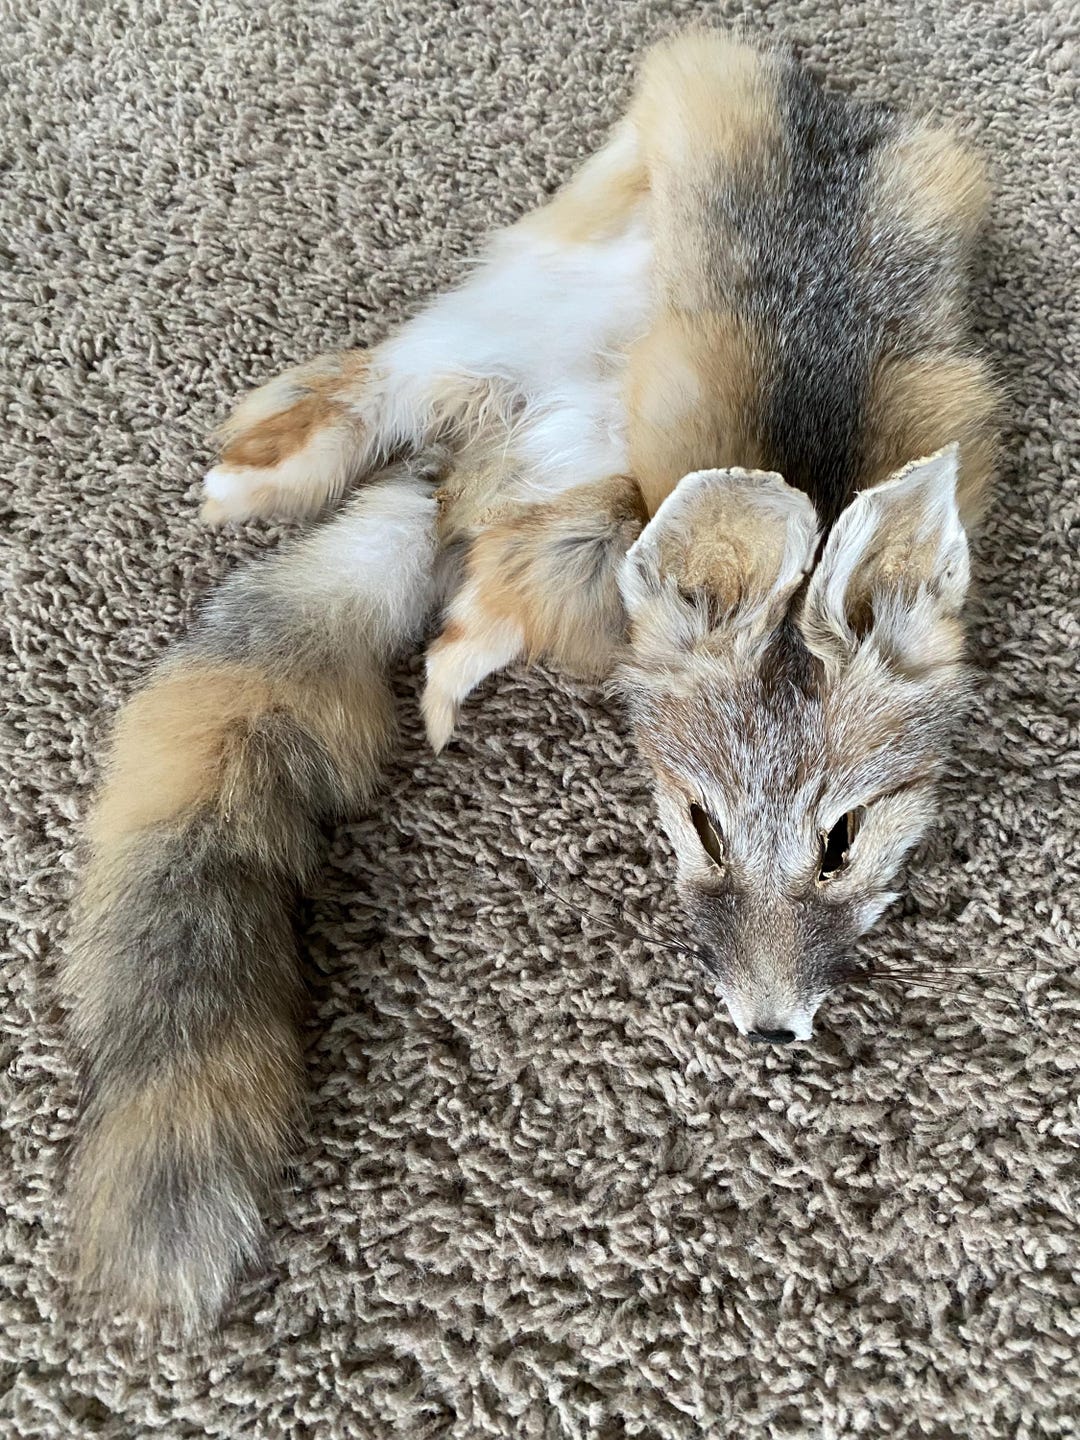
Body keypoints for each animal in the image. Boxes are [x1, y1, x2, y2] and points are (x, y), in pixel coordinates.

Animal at [62, 30, 1000, 1330]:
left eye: (843, 843)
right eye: (702, 828)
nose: (769, 1031)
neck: (808, 472)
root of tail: (488, 460)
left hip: (571, 509)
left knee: (445, 526)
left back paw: (385, 598)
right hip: (519, 357)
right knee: (376, 394)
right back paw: (257, 481)